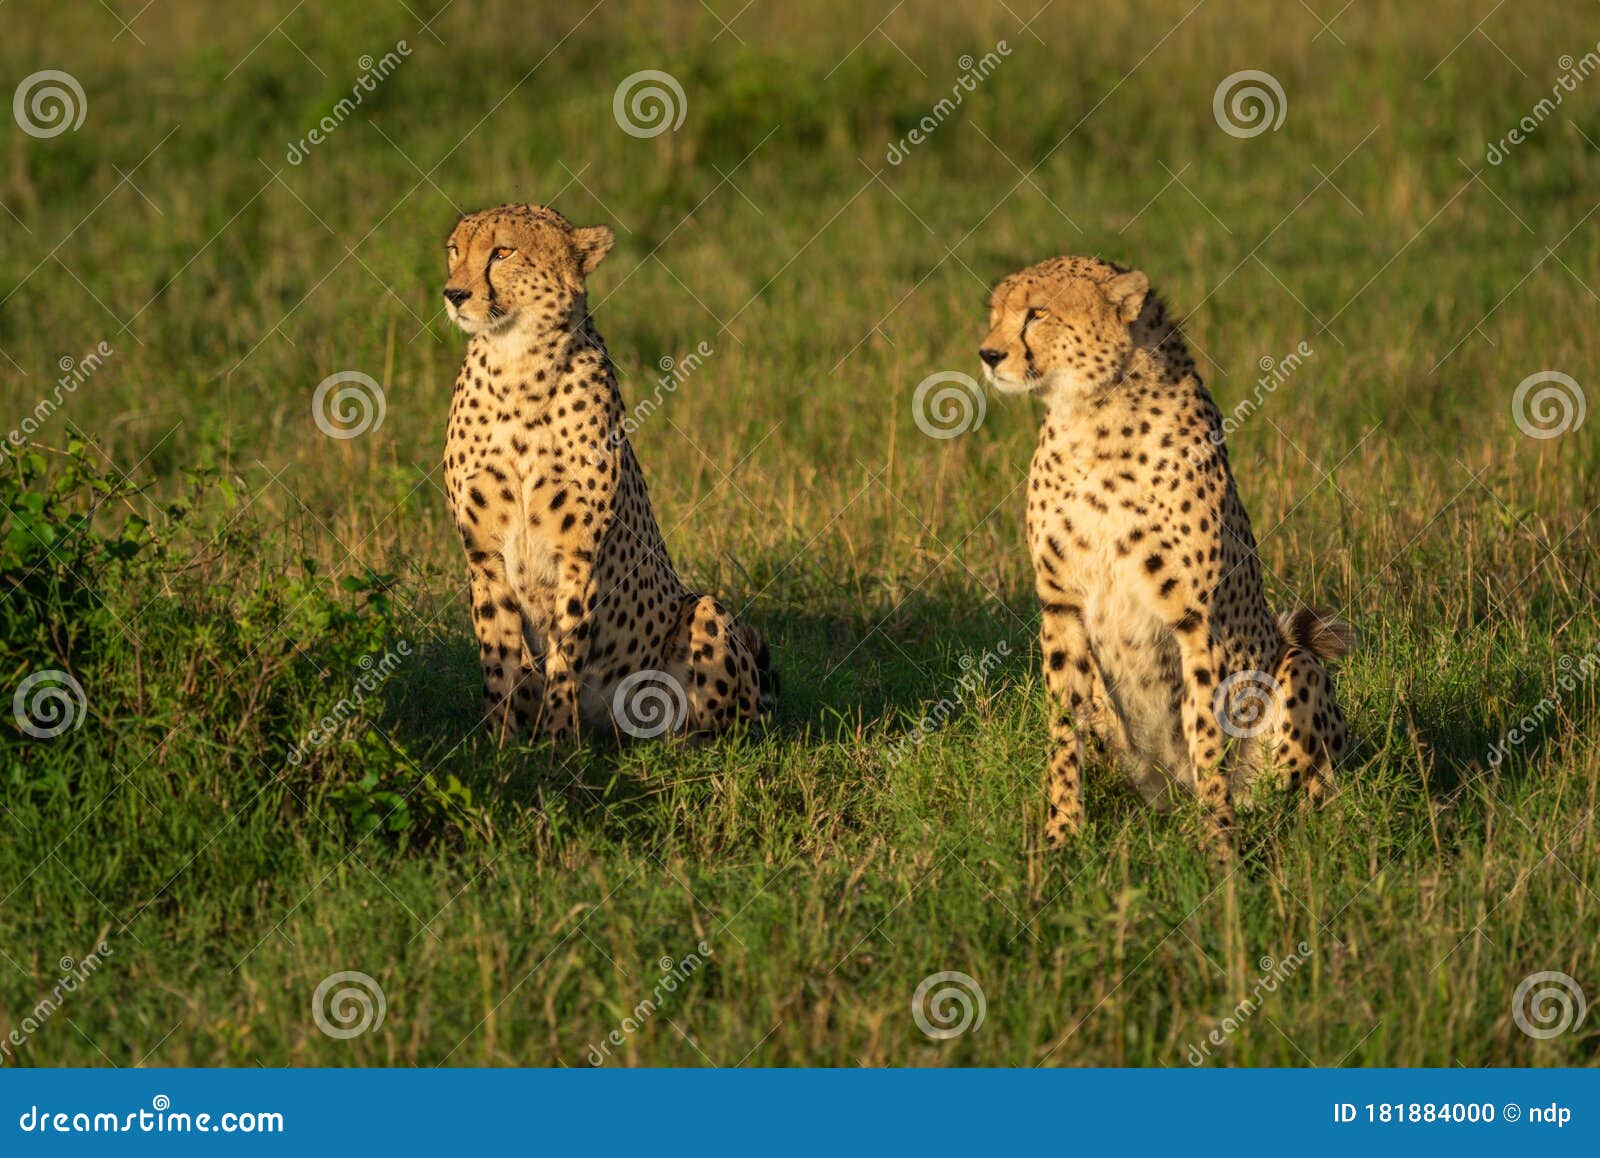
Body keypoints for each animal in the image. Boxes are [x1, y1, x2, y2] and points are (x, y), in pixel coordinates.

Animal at [441, 203, 775, 744]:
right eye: (455, 250)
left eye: (503, 252)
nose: (454, 294)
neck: (517, 366)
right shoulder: (483, 554)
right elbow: (499, 655)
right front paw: (502, 745)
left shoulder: (578, 553)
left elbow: (566, 653)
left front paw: (558, 742)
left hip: (705, 612)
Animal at [978, 255, 1352, 860]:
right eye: (997, 313)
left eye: (1038, 313)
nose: (988, 355)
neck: (1094, 414)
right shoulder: (1061, 607)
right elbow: (1062, 733)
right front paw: (1061, 836)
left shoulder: (1195, 617)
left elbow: (1205, 732)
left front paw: (1219, 848)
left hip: (1297, 667)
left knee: (1307, 789)